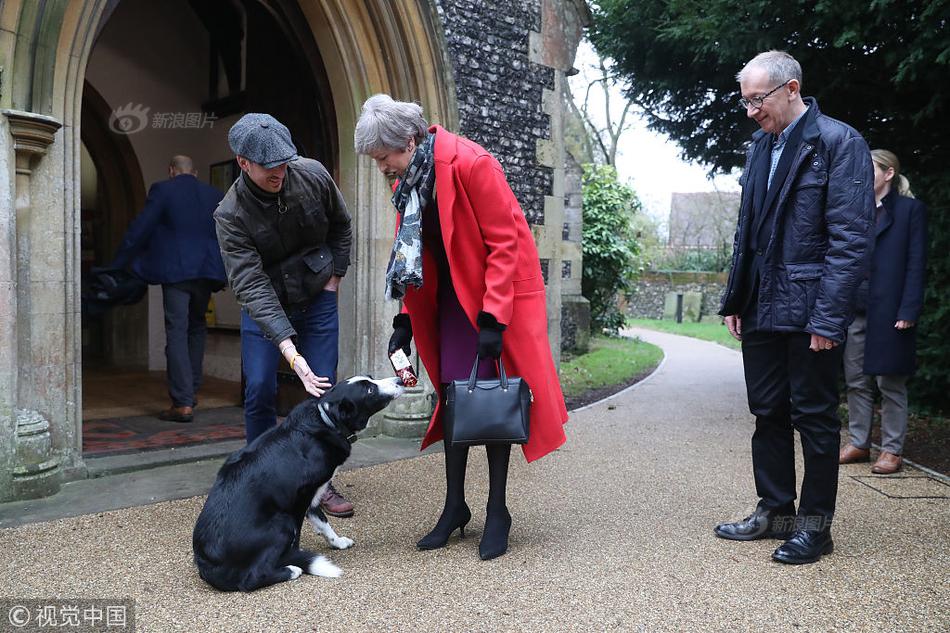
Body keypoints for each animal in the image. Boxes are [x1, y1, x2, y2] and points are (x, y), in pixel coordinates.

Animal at [192, 372, 404, 592]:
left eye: (370, 378)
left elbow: (323, 521)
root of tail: (207, 565)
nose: (399, 380)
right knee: (250, 579)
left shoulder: (313, 494)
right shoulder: (300, 498)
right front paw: (298, 558)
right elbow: (301, 532)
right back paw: (291, 570)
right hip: (281, 523)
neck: (326, 420)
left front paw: (337, 542)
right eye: (370, 390)